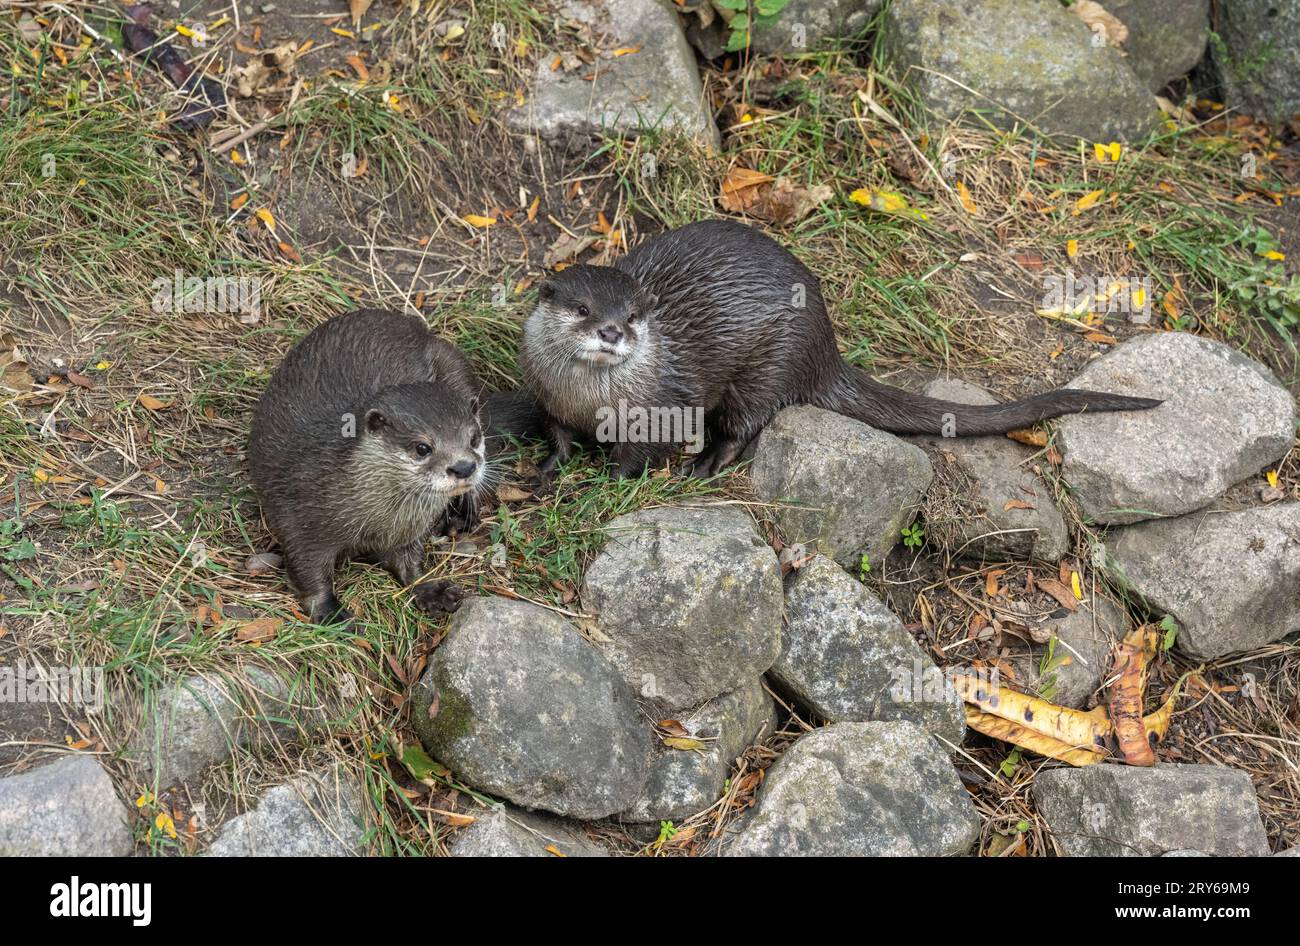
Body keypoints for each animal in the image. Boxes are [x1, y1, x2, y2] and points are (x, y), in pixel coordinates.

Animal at [249, 309, 538, 625]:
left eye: (474, 438)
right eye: (422, 447)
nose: (463, 467)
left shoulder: (409, 532)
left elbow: (408, 562)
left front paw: (431, 590)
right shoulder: (299, 518)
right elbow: (309, 572)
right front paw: (331, 614)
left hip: (454, 364)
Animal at [521, 219, 1160, 477]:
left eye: (633, 315)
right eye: (582, 308)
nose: (612, 331)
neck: (591, 401)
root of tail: (826, 346)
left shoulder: (661, 402)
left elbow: (640, 452)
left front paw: (613, 479)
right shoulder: (547, 397)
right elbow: (555, 432)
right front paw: (550, 466)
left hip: (772, 362)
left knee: (748, 421)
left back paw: (708, 462)